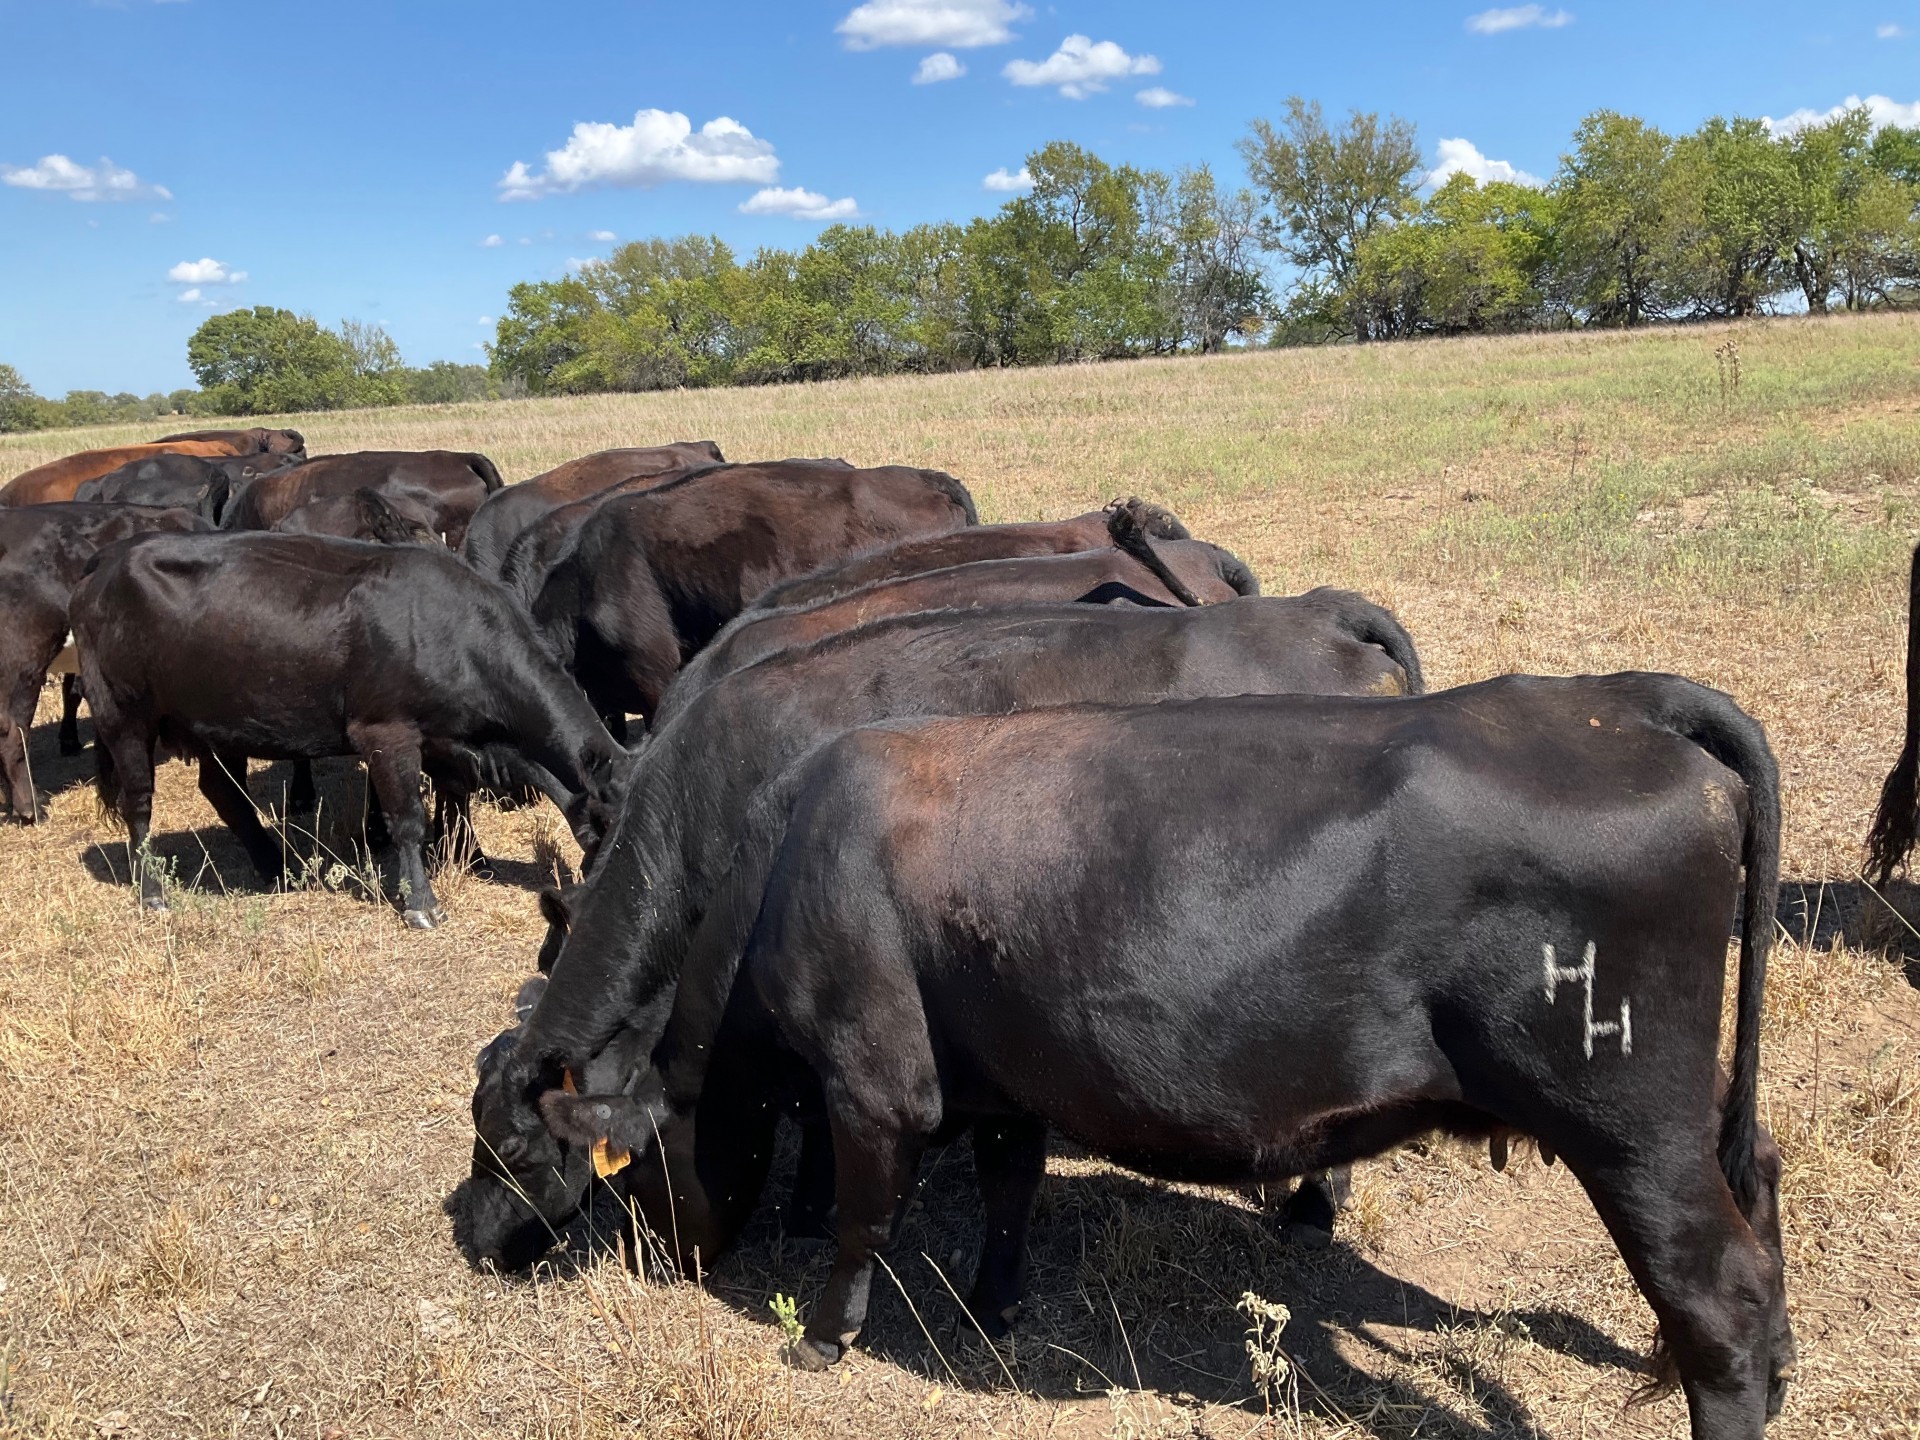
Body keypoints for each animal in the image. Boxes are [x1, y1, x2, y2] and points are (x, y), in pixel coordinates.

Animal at [70, 533, 629, 928]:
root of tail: (107, 560)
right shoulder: (386, 734)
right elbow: (408, 820)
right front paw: (422, 903)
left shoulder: (448, 740)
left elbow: (456, 797)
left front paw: (472, 857)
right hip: (124, 717)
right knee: (139, 805)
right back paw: (153, 893)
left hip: (210, 723)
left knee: (223, 792)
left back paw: (276, 866)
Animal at [546, 675, 1794, 1438]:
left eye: (638, 1171)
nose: (673, 1263)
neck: (789, 856)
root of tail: (1616, 698)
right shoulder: (1007, 1072)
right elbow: (1008, 1188)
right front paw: (992, 1308)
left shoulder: (875, 1079)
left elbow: (863, 1220)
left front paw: (825, 1338)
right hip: (1687, 1113)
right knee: (1762, 1188)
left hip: (1625, 1119)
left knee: (1714, 1292)